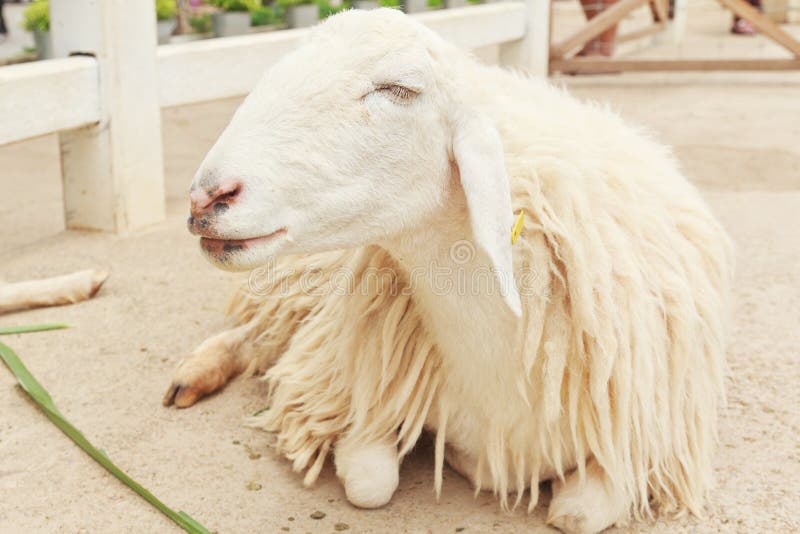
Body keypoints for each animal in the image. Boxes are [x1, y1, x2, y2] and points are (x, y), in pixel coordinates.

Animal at [161, 9, 733, 533]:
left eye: (397, 88)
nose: (206, 197)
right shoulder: (359, 386)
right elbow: (370, 484)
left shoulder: (638, 450)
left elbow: (577, 515)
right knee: (261, 333)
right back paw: (196, 372)